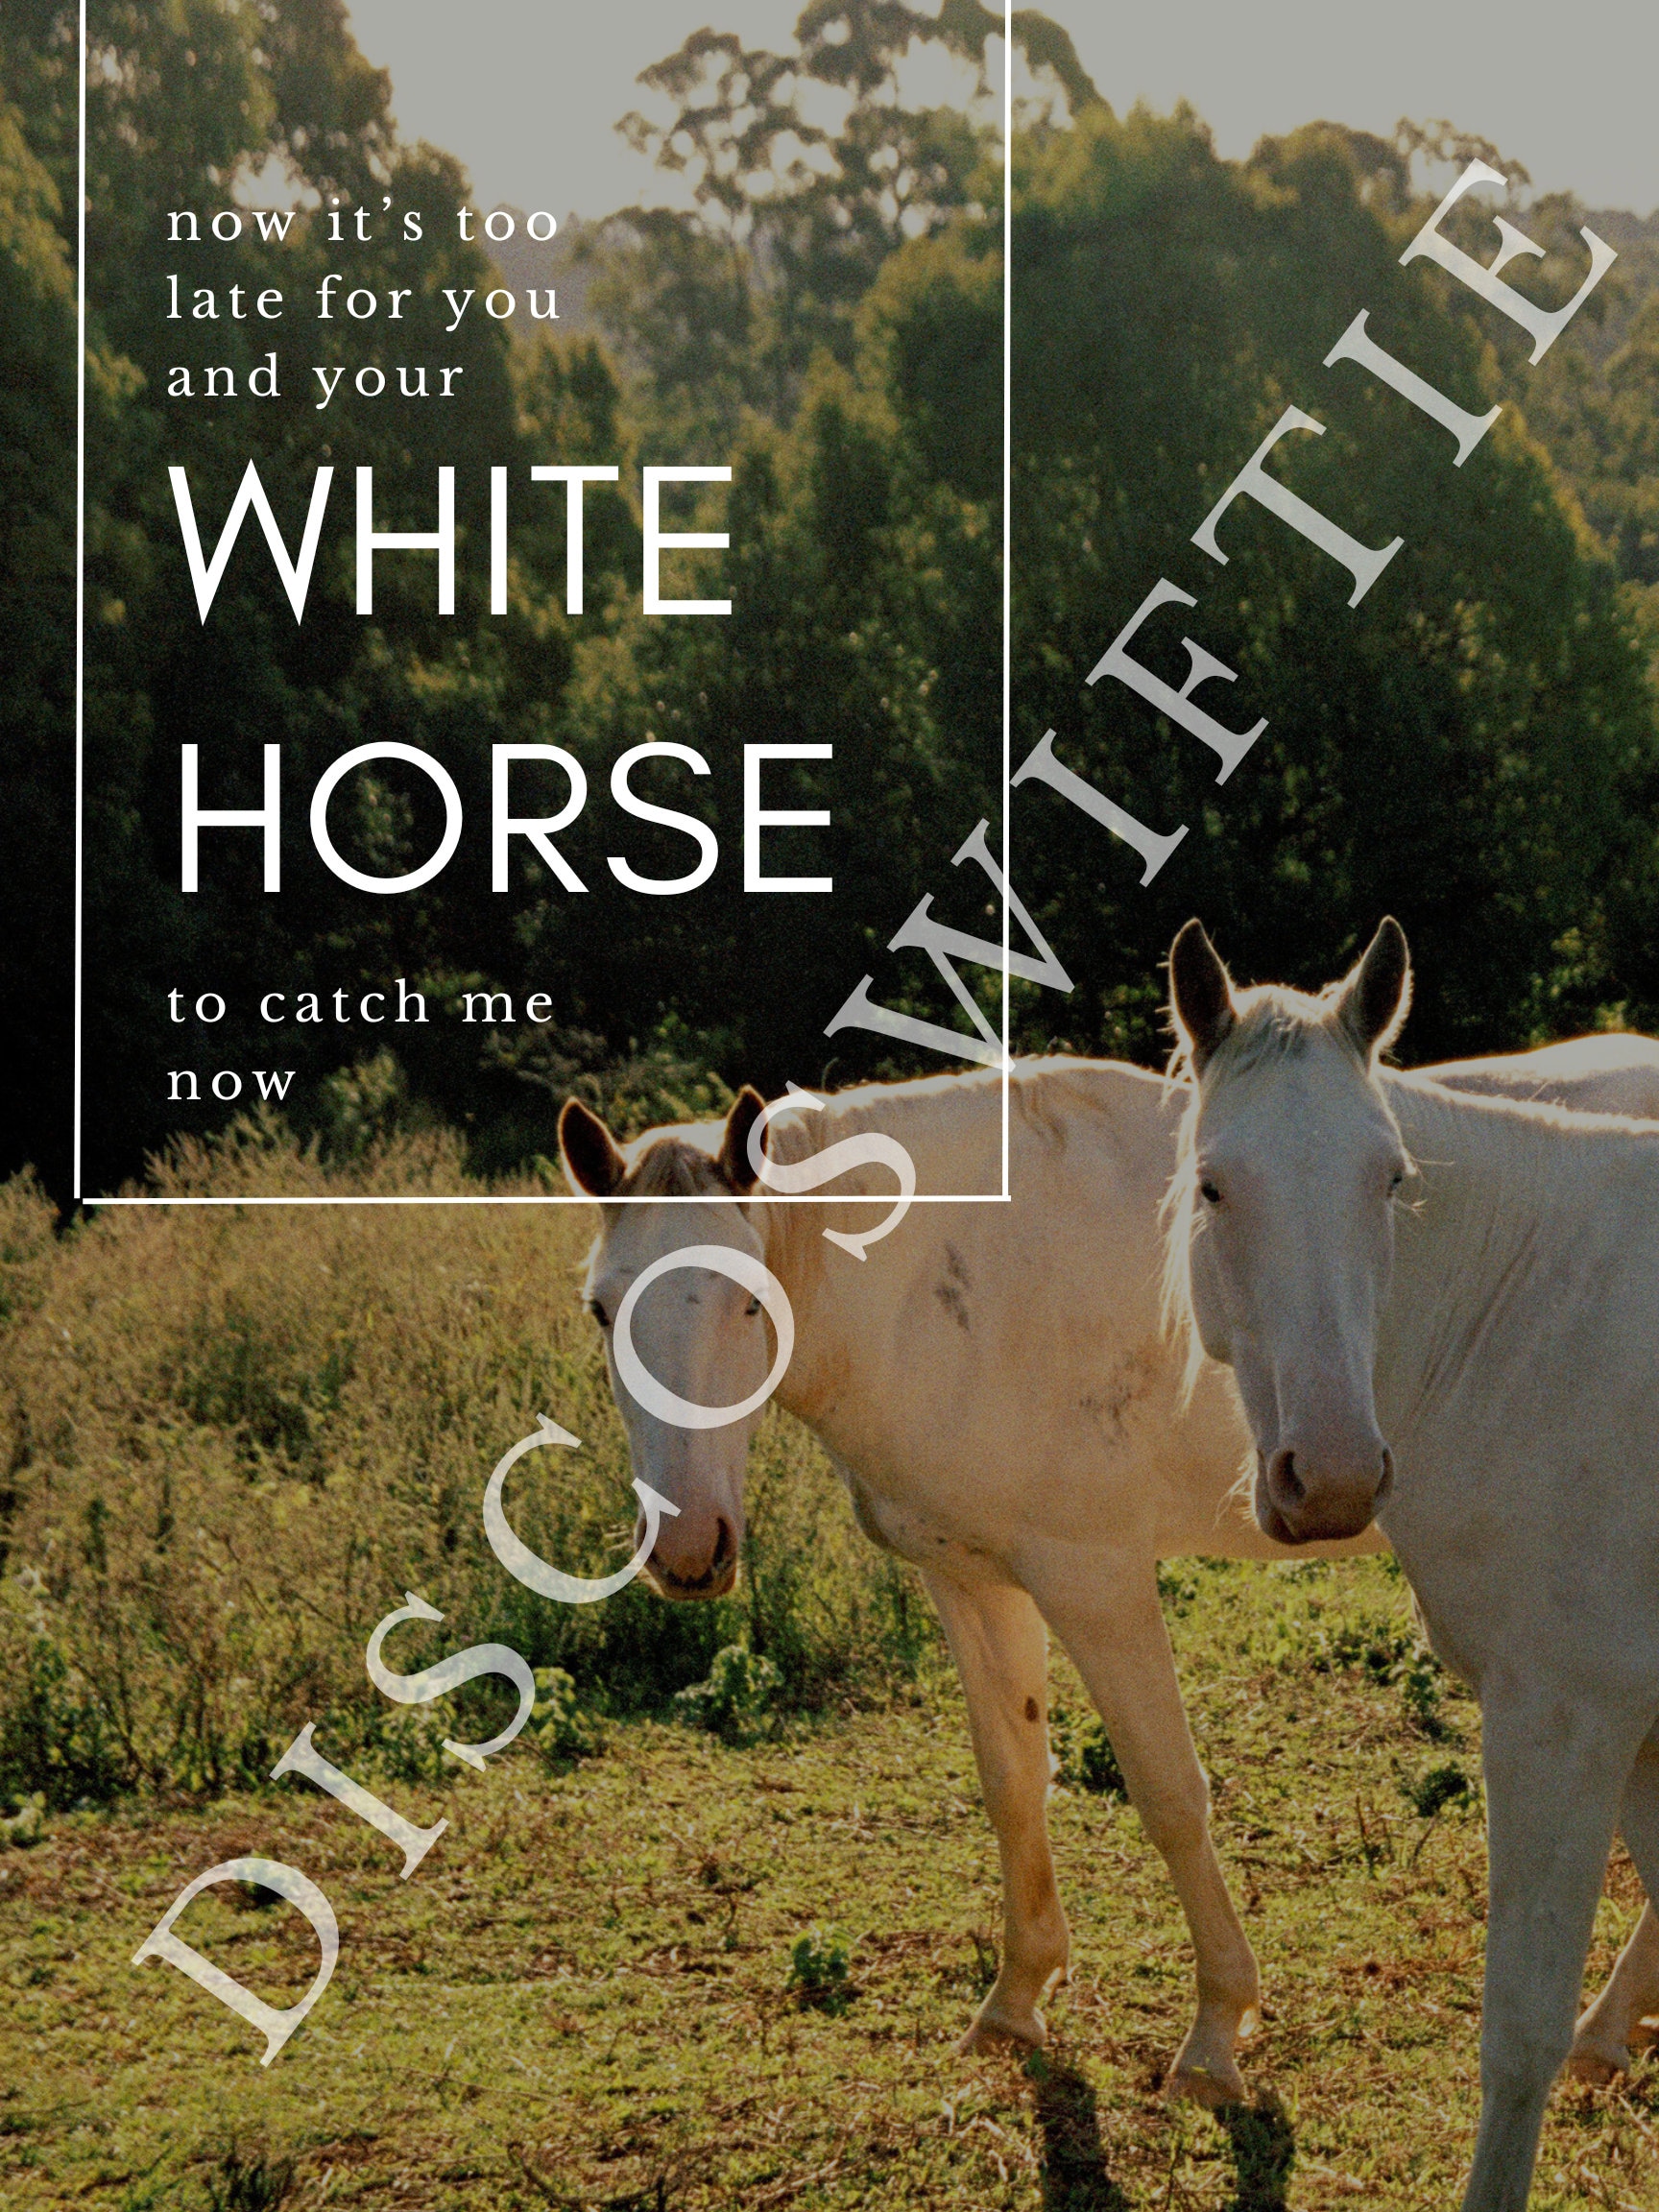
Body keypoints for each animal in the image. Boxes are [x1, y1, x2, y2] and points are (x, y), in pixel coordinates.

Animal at [557, 1028, 1659, 2108]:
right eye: (601, 1310)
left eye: (749, 1303)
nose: (687, 1549)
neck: (947, 1288)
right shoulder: (970, 1579)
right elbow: (1012, 1781)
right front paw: (1015, 2001)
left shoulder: (1097, 1583)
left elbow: (1168, 1795)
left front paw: (1216, 2032)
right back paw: (1610, 2030)